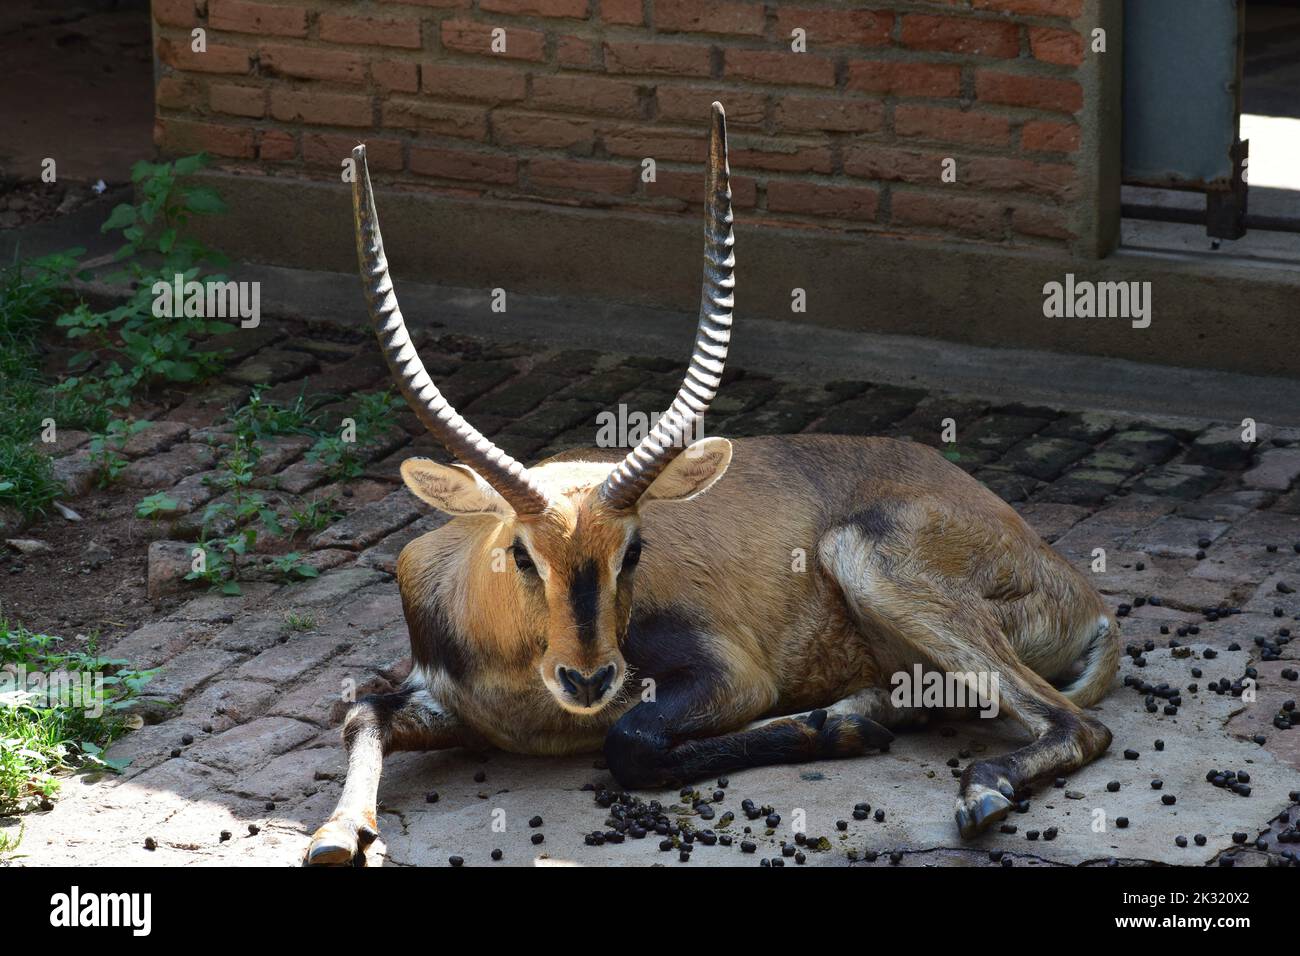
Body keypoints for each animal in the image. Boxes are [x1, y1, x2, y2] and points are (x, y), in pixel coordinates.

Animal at [305, 103, 1120, 865]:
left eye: (635, 551)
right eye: (522, 553)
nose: (589, 679)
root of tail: (1079, 591)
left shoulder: (730, 677)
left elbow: (630, 743)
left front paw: (834, 730)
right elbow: (363, 711)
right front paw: (335, 834)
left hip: (875, 564)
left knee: (1082, 725)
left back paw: (968, 782)